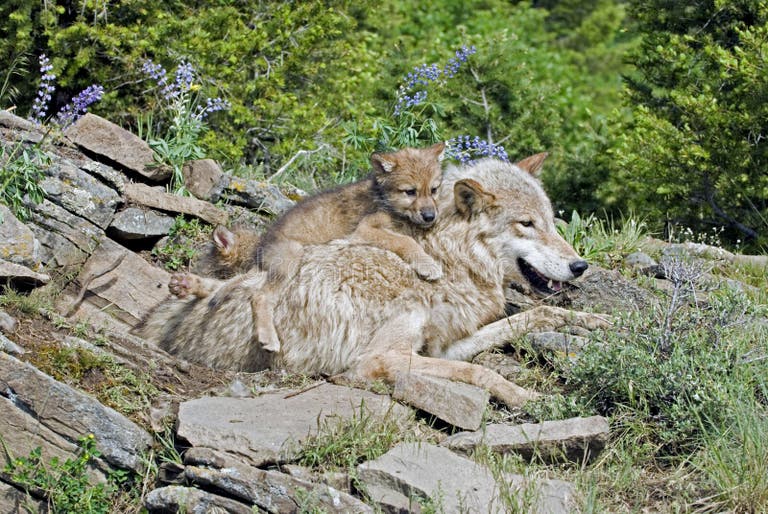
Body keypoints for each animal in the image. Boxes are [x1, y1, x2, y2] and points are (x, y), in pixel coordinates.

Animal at [170, 143, 447, 353]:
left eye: (434, 189)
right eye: (410, 191)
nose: (430, 216)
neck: (384, 198)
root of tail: (262, 251)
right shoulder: (365, 230)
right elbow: (406, 241)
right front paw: (428, 265)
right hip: (292, 257)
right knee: (259, 296)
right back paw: (268, 338)